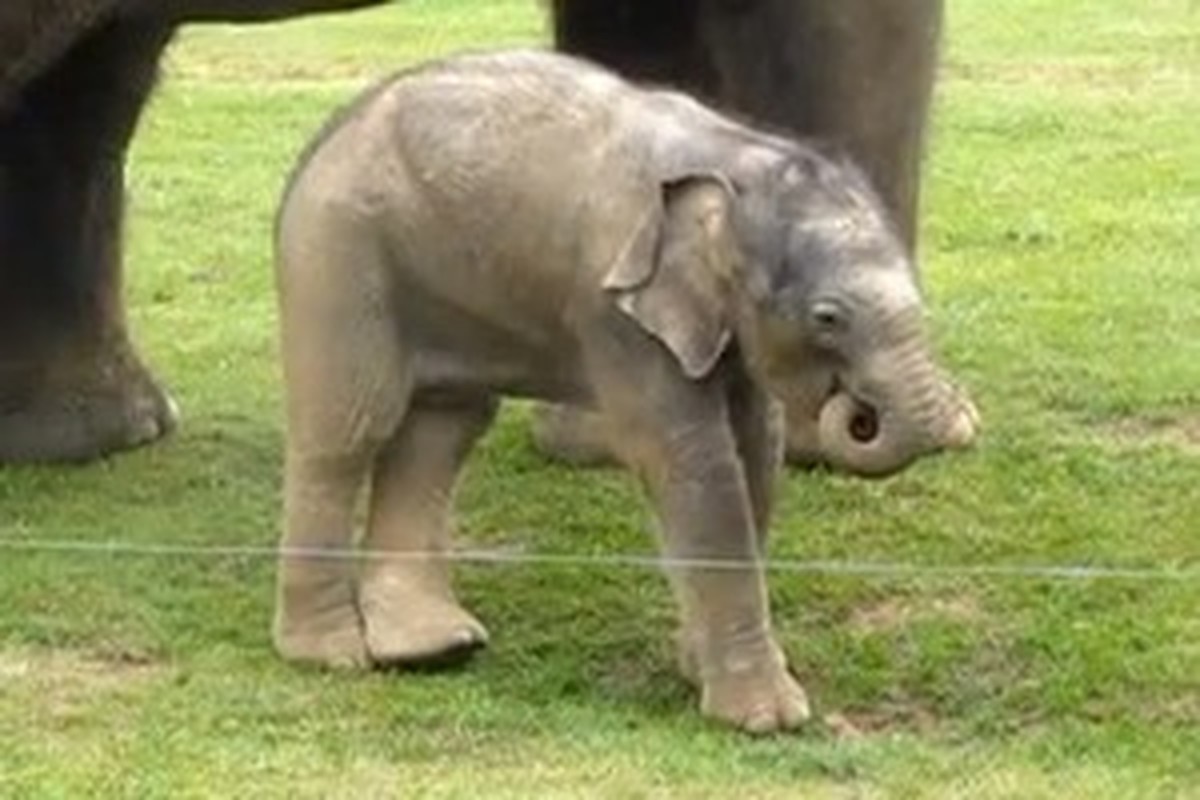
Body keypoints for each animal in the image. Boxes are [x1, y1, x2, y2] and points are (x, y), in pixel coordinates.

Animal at [272, 50, 978, 733]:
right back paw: (331, 655)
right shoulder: (614, 308)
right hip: (340, 256)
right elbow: (694, 461)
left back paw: (435, 647)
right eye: (827, 317)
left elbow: (756, 449)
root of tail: (324, 140)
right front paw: (766, 718)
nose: (857, 408)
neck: (734, 156)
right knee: (348, 432)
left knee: (440, 432)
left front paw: (698, 669)